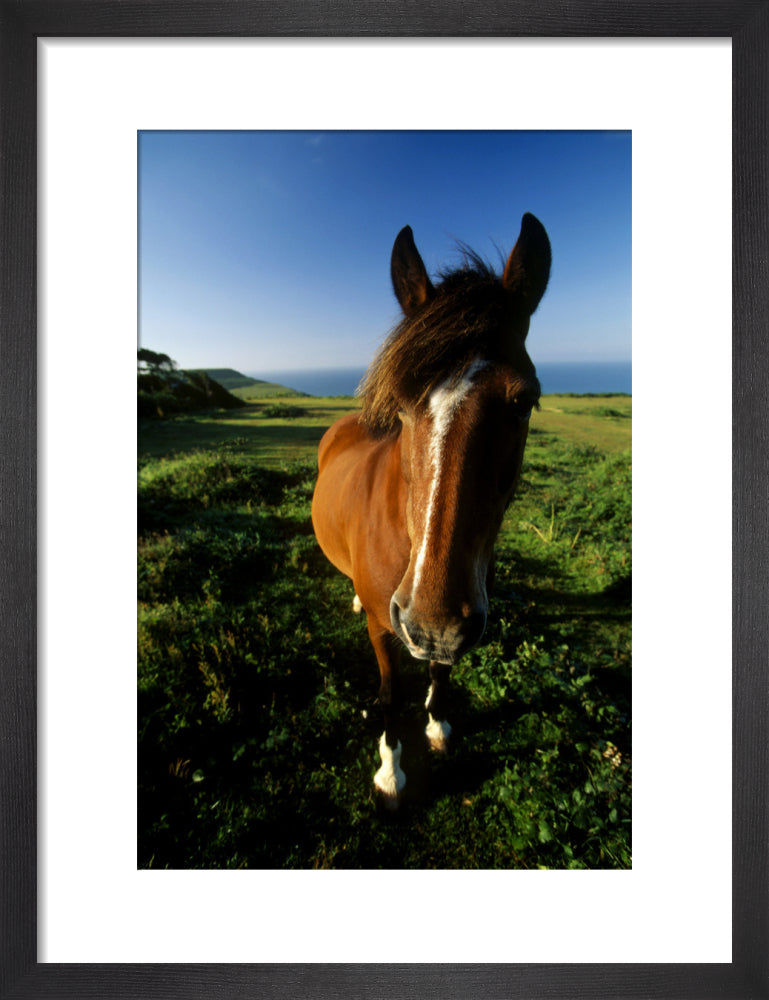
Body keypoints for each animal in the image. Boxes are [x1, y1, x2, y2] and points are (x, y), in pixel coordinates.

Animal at [311, 214, 551, 808]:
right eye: (399, 402)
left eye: (524, 401)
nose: (430, 622)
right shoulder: (388, 628)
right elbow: (392, 693)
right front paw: (390, 773)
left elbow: (441, 670)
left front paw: (439, 724)